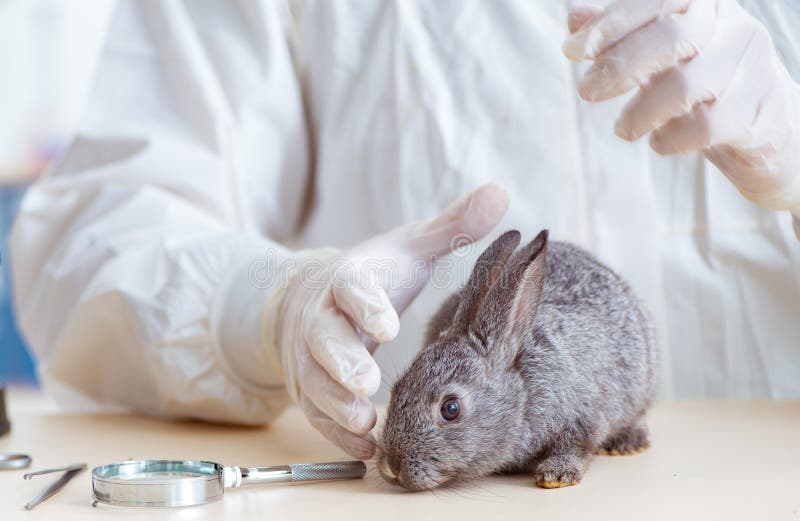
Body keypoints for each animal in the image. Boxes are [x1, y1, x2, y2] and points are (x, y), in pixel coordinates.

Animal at [376, 229, 657, 491]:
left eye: (451, 409)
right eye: (396, 389)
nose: (394, 466)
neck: (524, 392)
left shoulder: (585, 414)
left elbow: (576, 445)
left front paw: (556, 475)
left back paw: (628, 443)